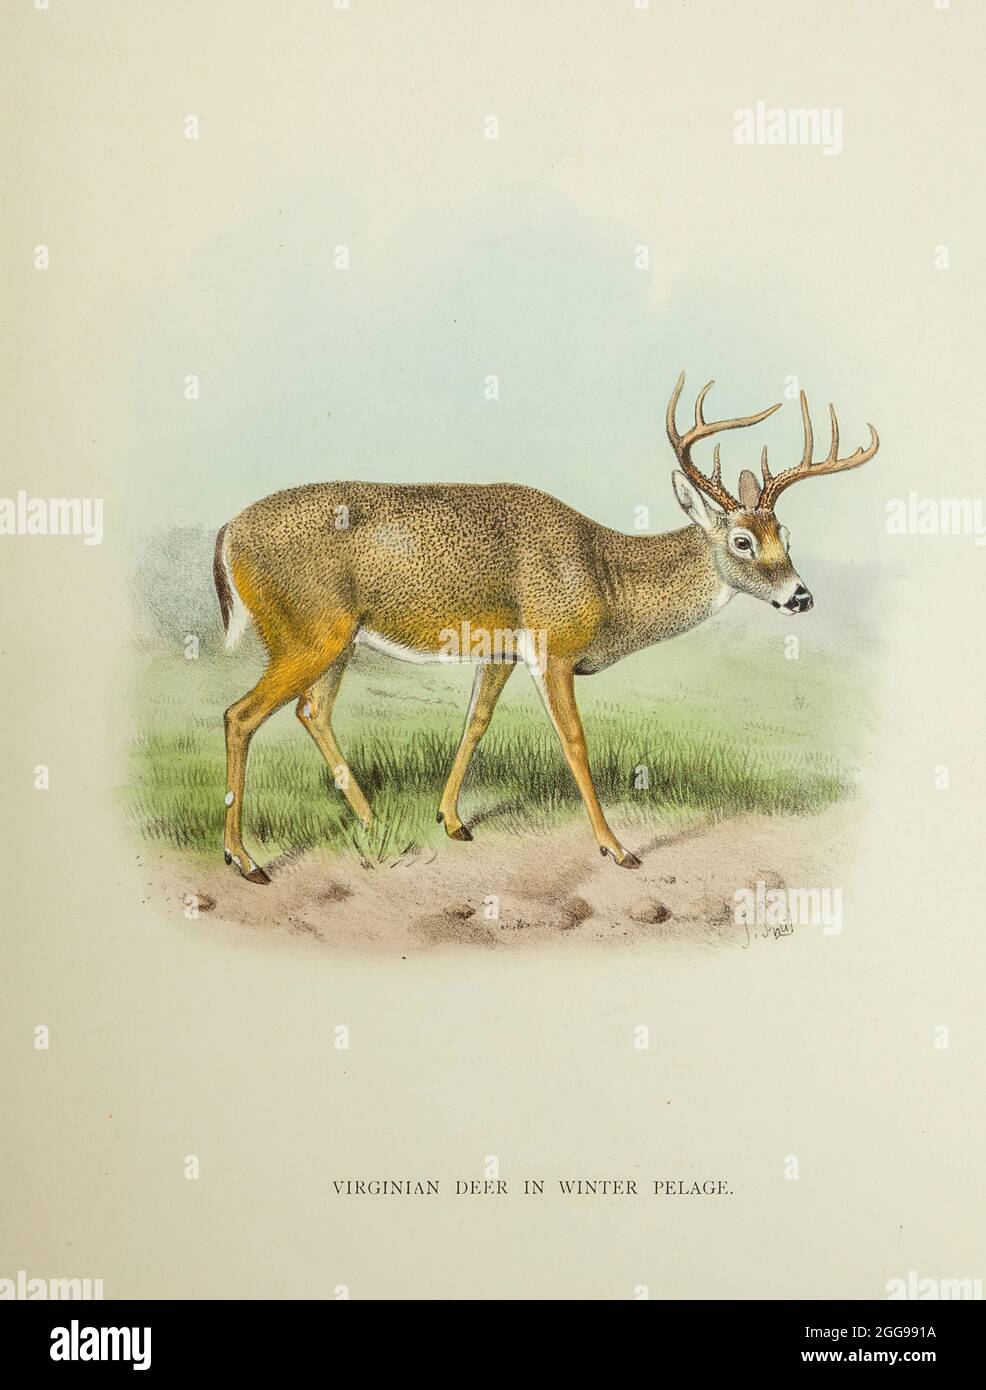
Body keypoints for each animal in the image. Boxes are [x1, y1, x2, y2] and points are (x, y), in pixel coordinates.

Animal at [212, 374, 878, 882]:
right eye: (742, 540)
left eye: (784, 534)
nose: (801, 596)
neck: (606, 576)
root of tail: (226, 534)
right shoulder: (554, 648)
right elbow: (574, 741)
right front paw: (617, 847)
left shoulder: (501, 651)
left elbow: (475, 723)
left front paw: (452, 821)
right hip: (308, 631)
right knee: (240, 715)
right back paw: (245, 859)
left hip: (336, 639)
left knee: (311, 710)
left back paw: (371, 818)